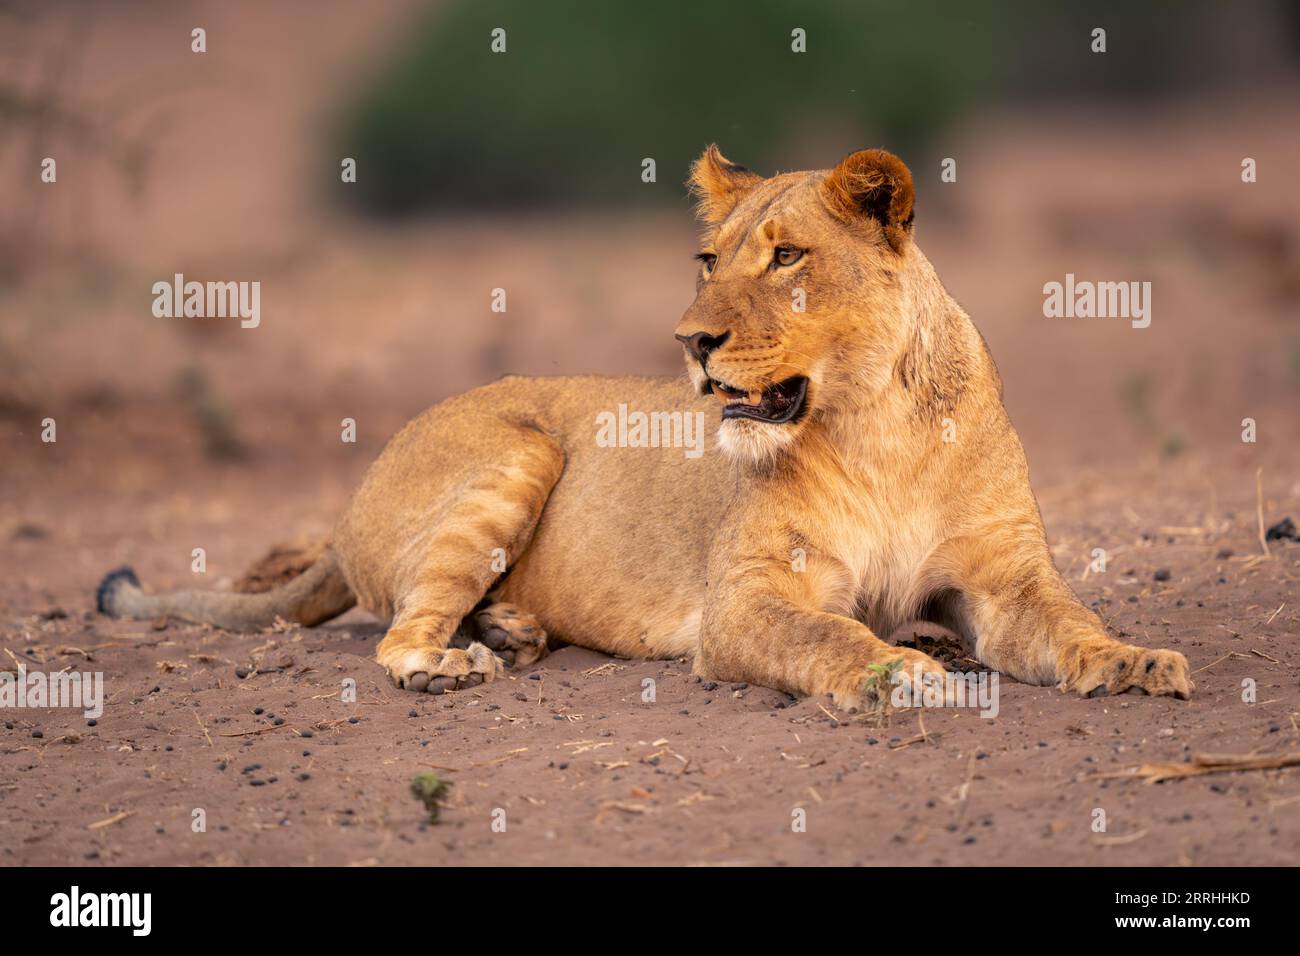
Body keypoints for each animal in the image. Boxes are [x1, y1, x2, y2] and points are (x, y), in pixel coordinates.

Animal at [96, 146, 1194, 708]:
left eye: (787, 256)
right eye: (707, 259)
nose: (691, 342)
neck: (873, 423)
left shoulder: (999, 577)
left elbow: (1066, 621)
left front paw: (1135, 660)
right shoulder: (746, 601)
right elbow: (823, 631)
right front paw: (895, 668)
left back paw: (511, 627)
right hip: (523, 444)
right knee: (397, 631)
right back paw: (456, 656)